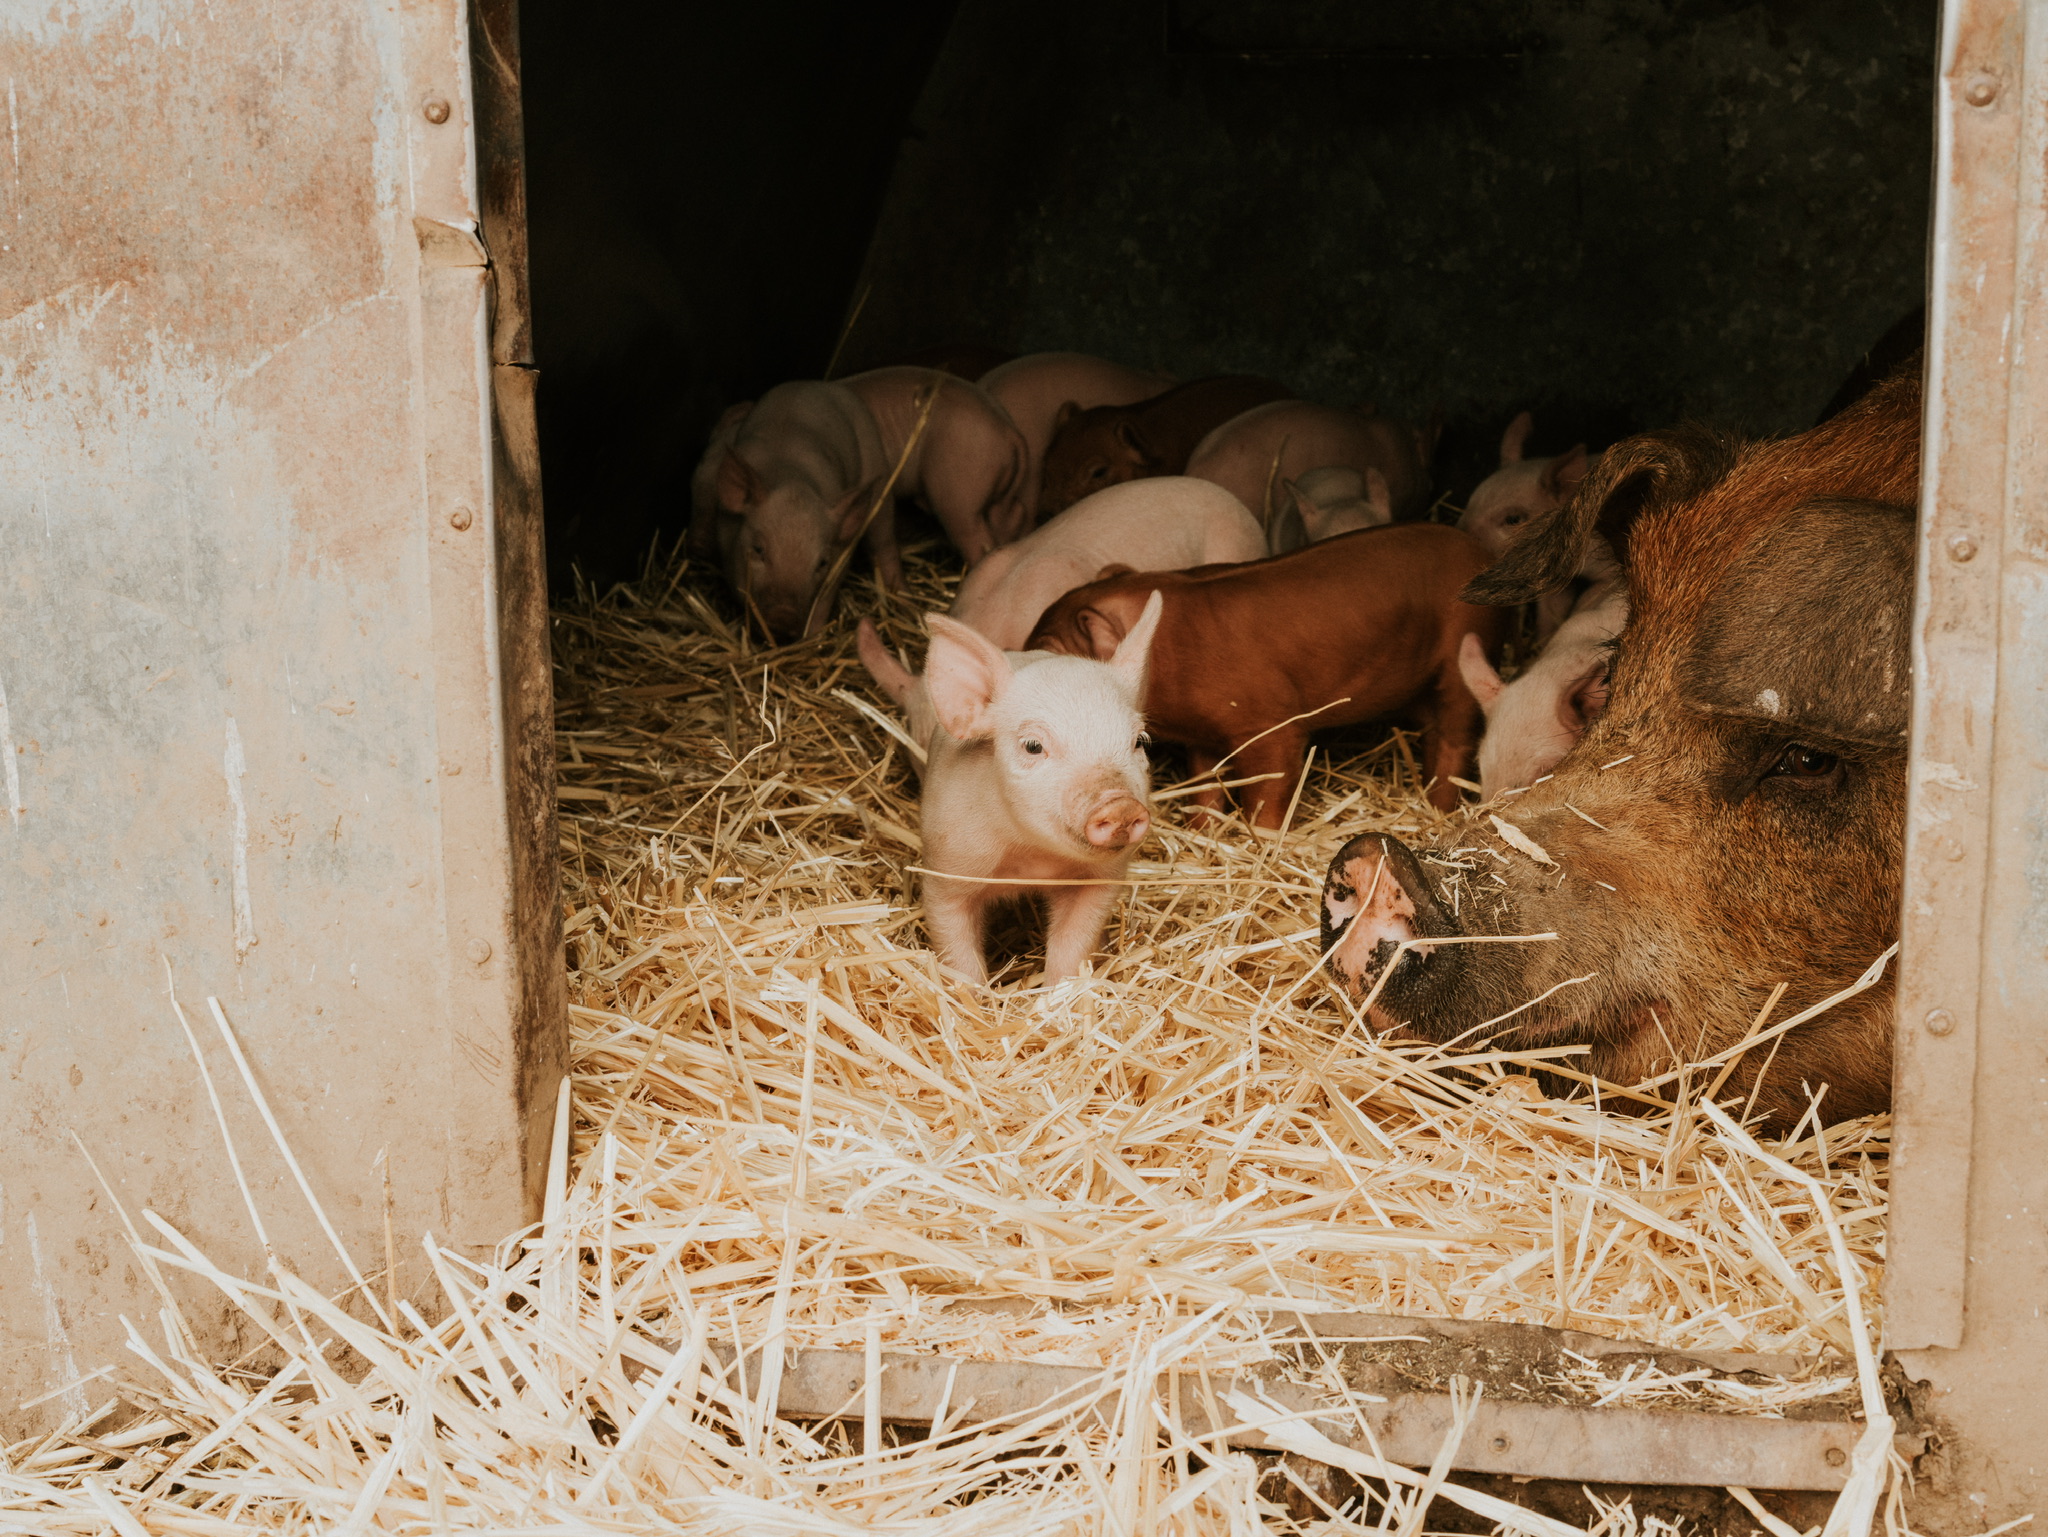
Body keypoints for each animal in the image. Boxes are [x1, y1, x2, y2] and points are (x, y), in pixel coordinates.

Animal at [688, 381, 889, 641]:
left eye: (822, 562)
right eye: (758, 549)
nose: (784, 617)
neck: (791, 476)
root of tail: (815, 383)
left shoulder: (842, 554)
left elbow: (824, 599)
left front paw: (811, 639)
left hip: (878, 464)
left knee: (884, 540)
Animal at [908, 597, 1165, 986]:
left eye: (1139, 741)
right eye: (1032, 746)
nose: (1119, 804)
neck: (1032, 862)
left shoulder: (1102, 881)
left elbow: (1072, 947)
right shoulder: (946, 869)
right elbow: (957, 953)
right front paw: (974, 997)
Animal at [1027, 524, 1506, 826]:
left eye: (1049, 649)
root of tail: (1483, 553)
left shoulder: (1273, 726)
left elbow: (1267, 792)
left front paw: (1264, 836)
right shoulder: (1203, 738)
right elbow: (1206, 787)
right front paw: (1203, 829)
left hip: (1465, 651)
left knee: (1455, 734)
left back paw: (1440, 809)